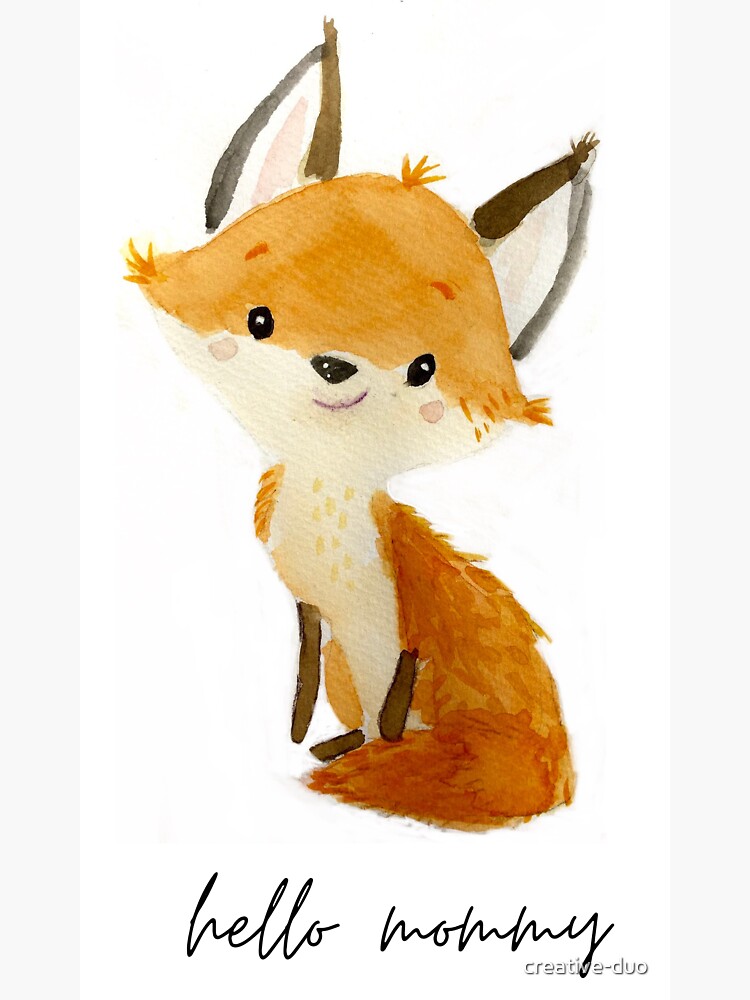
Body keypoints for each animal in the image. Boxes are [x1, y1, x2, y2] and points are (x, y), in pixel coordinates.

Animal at [125, 18, 598, 830]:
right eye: (260, 319)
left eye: (423, 368)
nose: (336, 366)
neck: (329, 527)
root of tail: (555, 761)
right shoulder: (316, 620)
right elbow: (309, 692)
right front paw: (318, 743)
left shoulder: (392, 642)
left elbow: (387, 717)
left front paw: (358, 762)